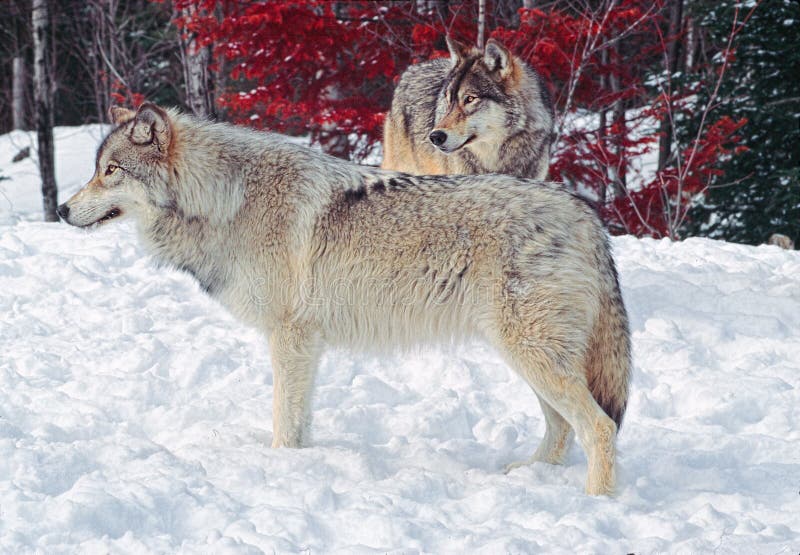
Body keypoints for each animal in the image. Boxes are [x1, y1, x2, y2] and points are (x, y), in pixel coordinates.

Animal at [58, 103, 630, 495]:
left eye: (111, 171)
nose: (62, 210)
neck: (225, 199)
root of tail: (587, 217)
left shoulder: (289, 336)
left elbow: (283, 421)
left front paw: (280, 466)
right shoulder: (306, 344)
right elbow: (299, 420)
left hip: (532, 356)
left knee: (599, 427)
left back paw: (594, 502)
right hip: (530, 359)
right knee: (562, 428)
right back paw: (530, 476)